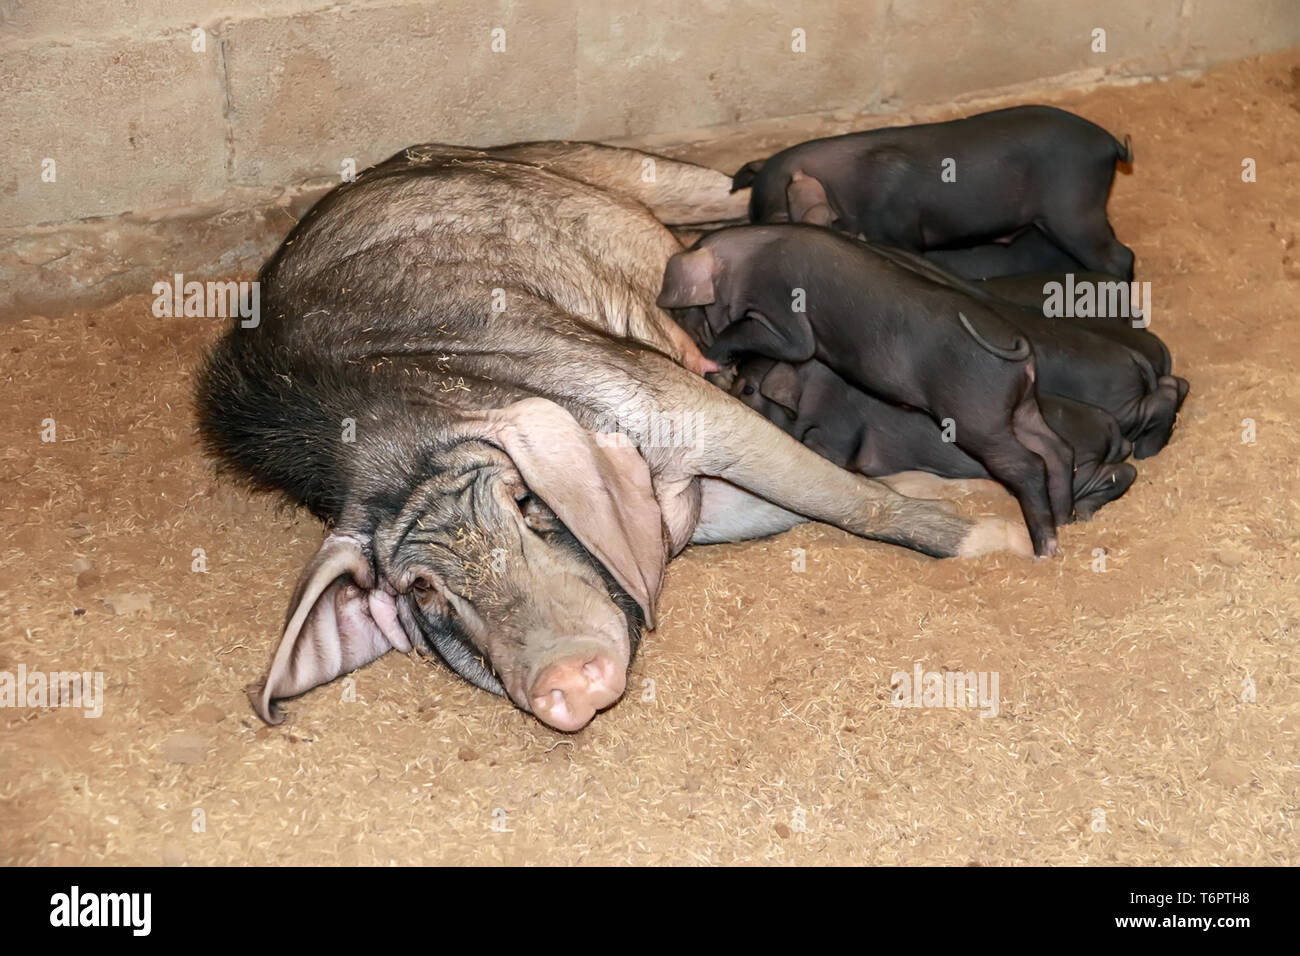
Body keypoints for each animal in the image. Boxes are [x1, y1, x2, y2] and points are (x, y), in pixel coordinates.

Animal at [196, 142, 1031, 732]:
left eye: (526, 503)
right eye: (424, 589)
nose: (562, 678)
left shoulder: (666, 395)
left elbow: (842, 498)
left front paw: (1009, 541)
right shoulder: (695, 506)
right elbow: (805, 502)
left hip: (629, 170)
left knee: (724, 190)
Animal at [657, 223, 1076, 557]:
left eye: (689, 307)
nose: (688, 345)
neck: (746, 259)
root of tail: (1021, 354)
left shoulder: (785, 316)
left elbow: (780, 341)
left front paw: (713, 357)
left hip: (977, 417)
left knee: (1027, 464)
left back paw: (1045, 548)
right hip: (1022, 409)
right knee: (1057, 449)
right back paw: (1066, 520)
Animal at [726, 357, 1136, 521]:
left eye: (748, 388)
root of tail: (1109, 425)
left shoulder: (840, 435)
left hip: (1081, 468)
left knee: (1122, 474)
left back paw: (1084, 514)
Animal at [733, 105, 1135, 280]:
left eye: (780, 217)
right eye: (751, 215)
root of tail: (1109, 143)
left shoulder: (900, 231)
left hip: (1073, 212)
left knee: (1121, 257)